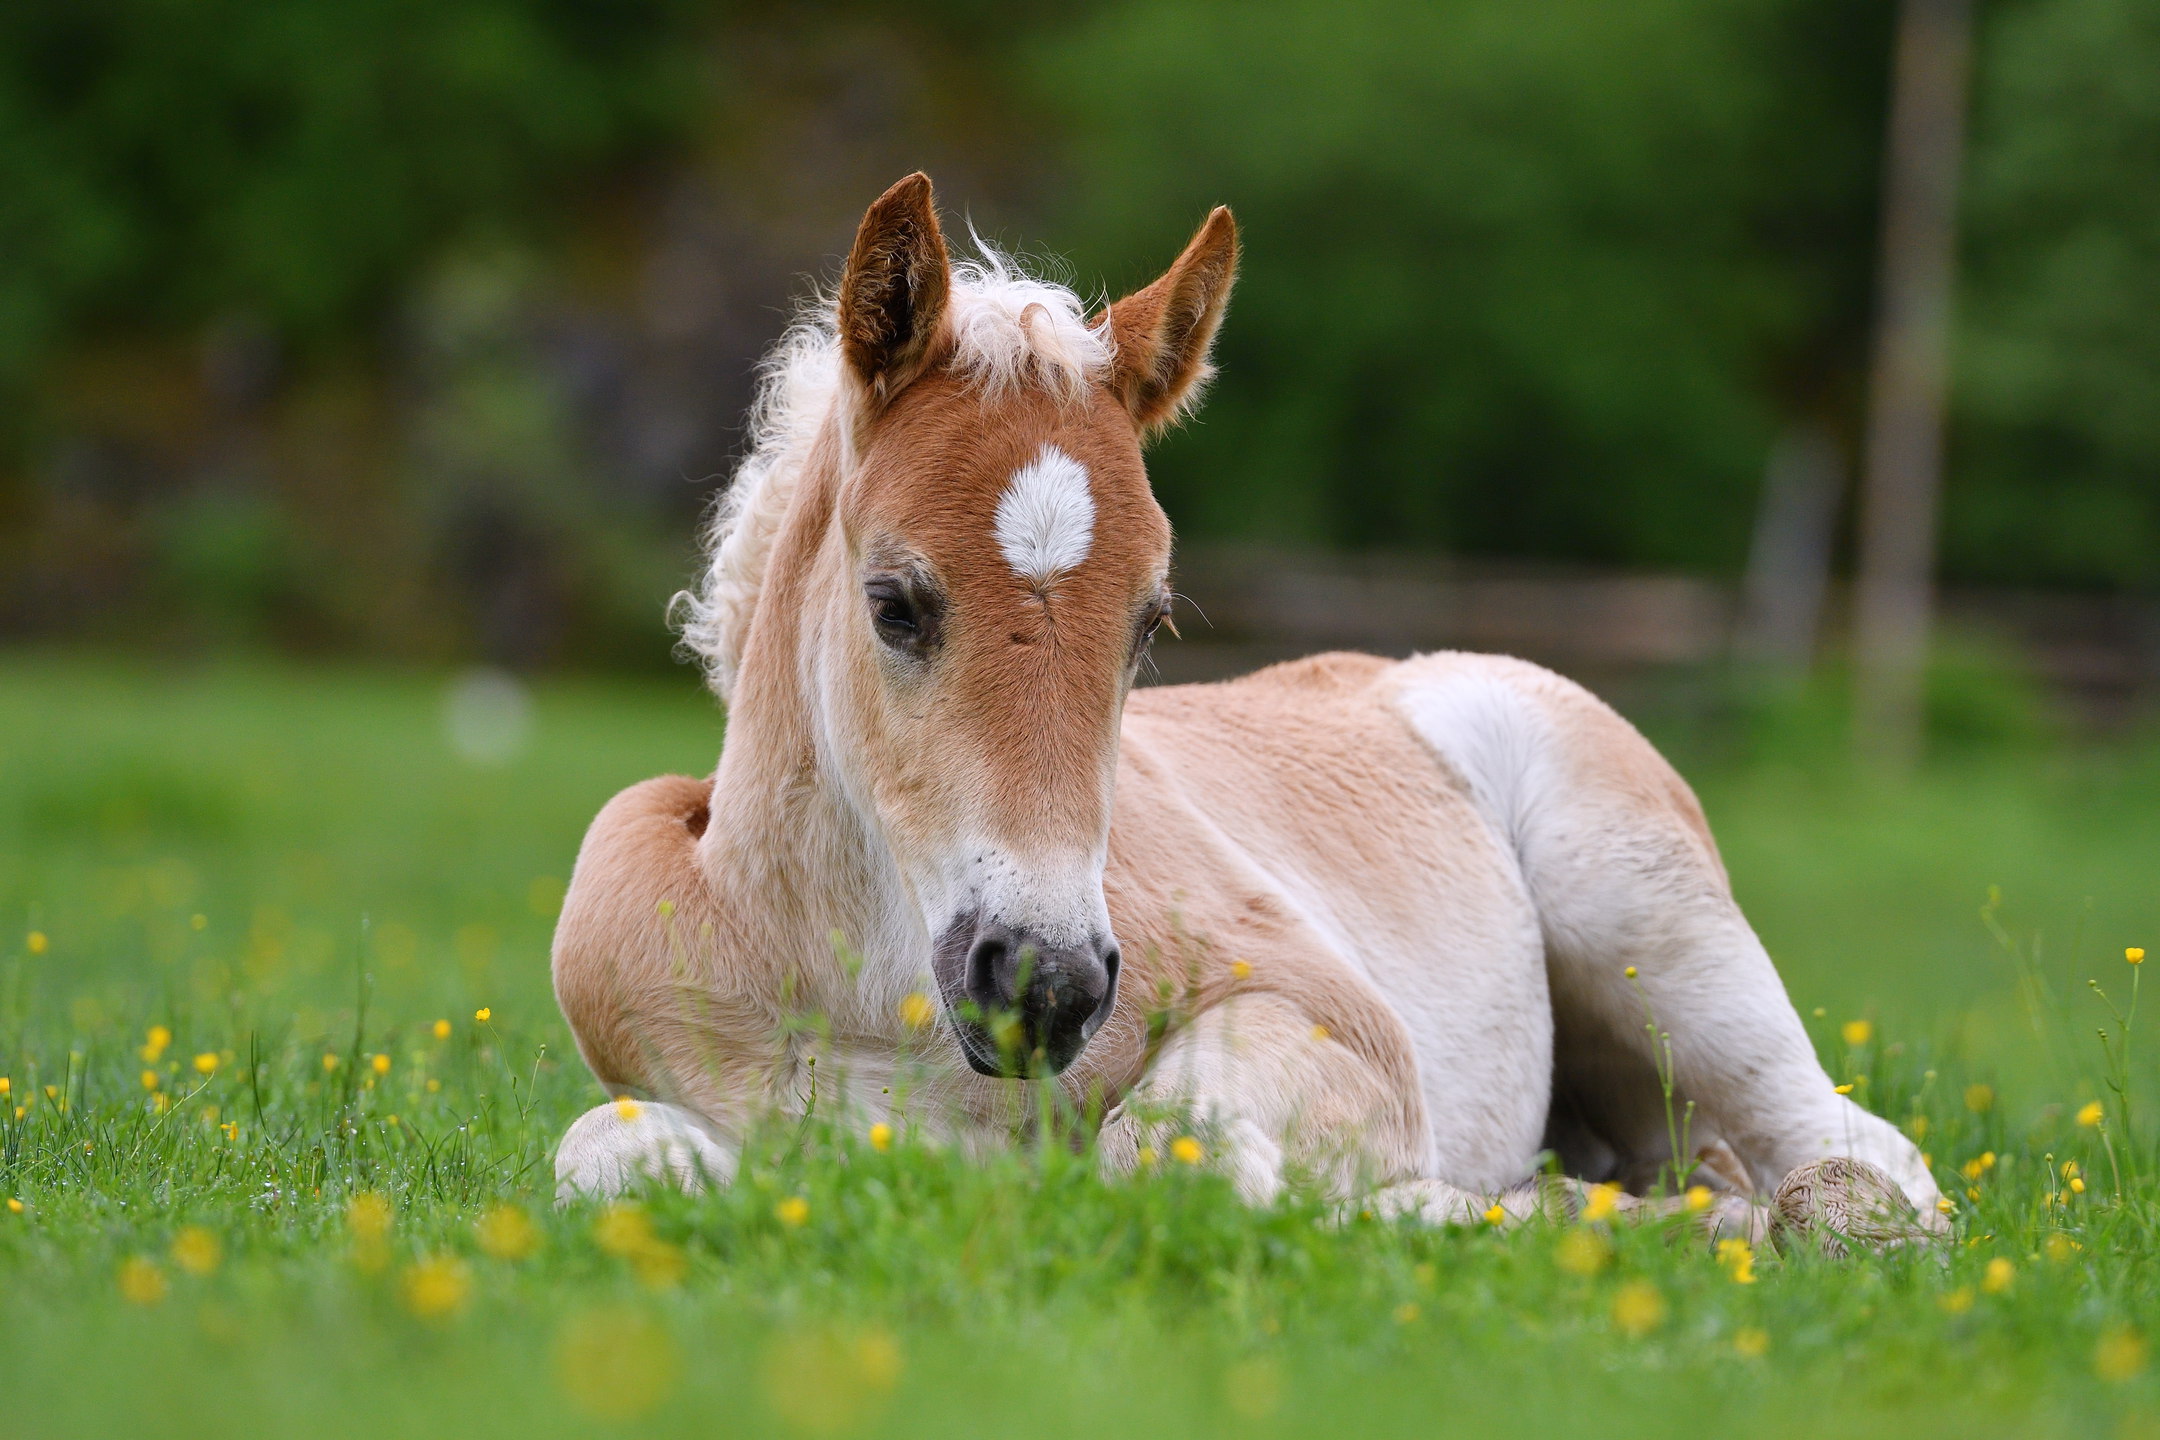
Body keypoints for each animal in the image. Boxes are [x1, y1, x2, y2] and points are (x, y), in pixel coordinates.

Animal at [549, 172, 1944, 1239]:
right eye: (894, 602)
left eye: (1151, 623)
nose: (1044, 986)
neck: (859, 987)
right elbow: (603, 1159)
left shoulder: (1332, 1015)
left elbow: (1172, 1156)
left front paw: (1447, 1212)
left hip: (1655, 932)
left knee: (1859, 1148)